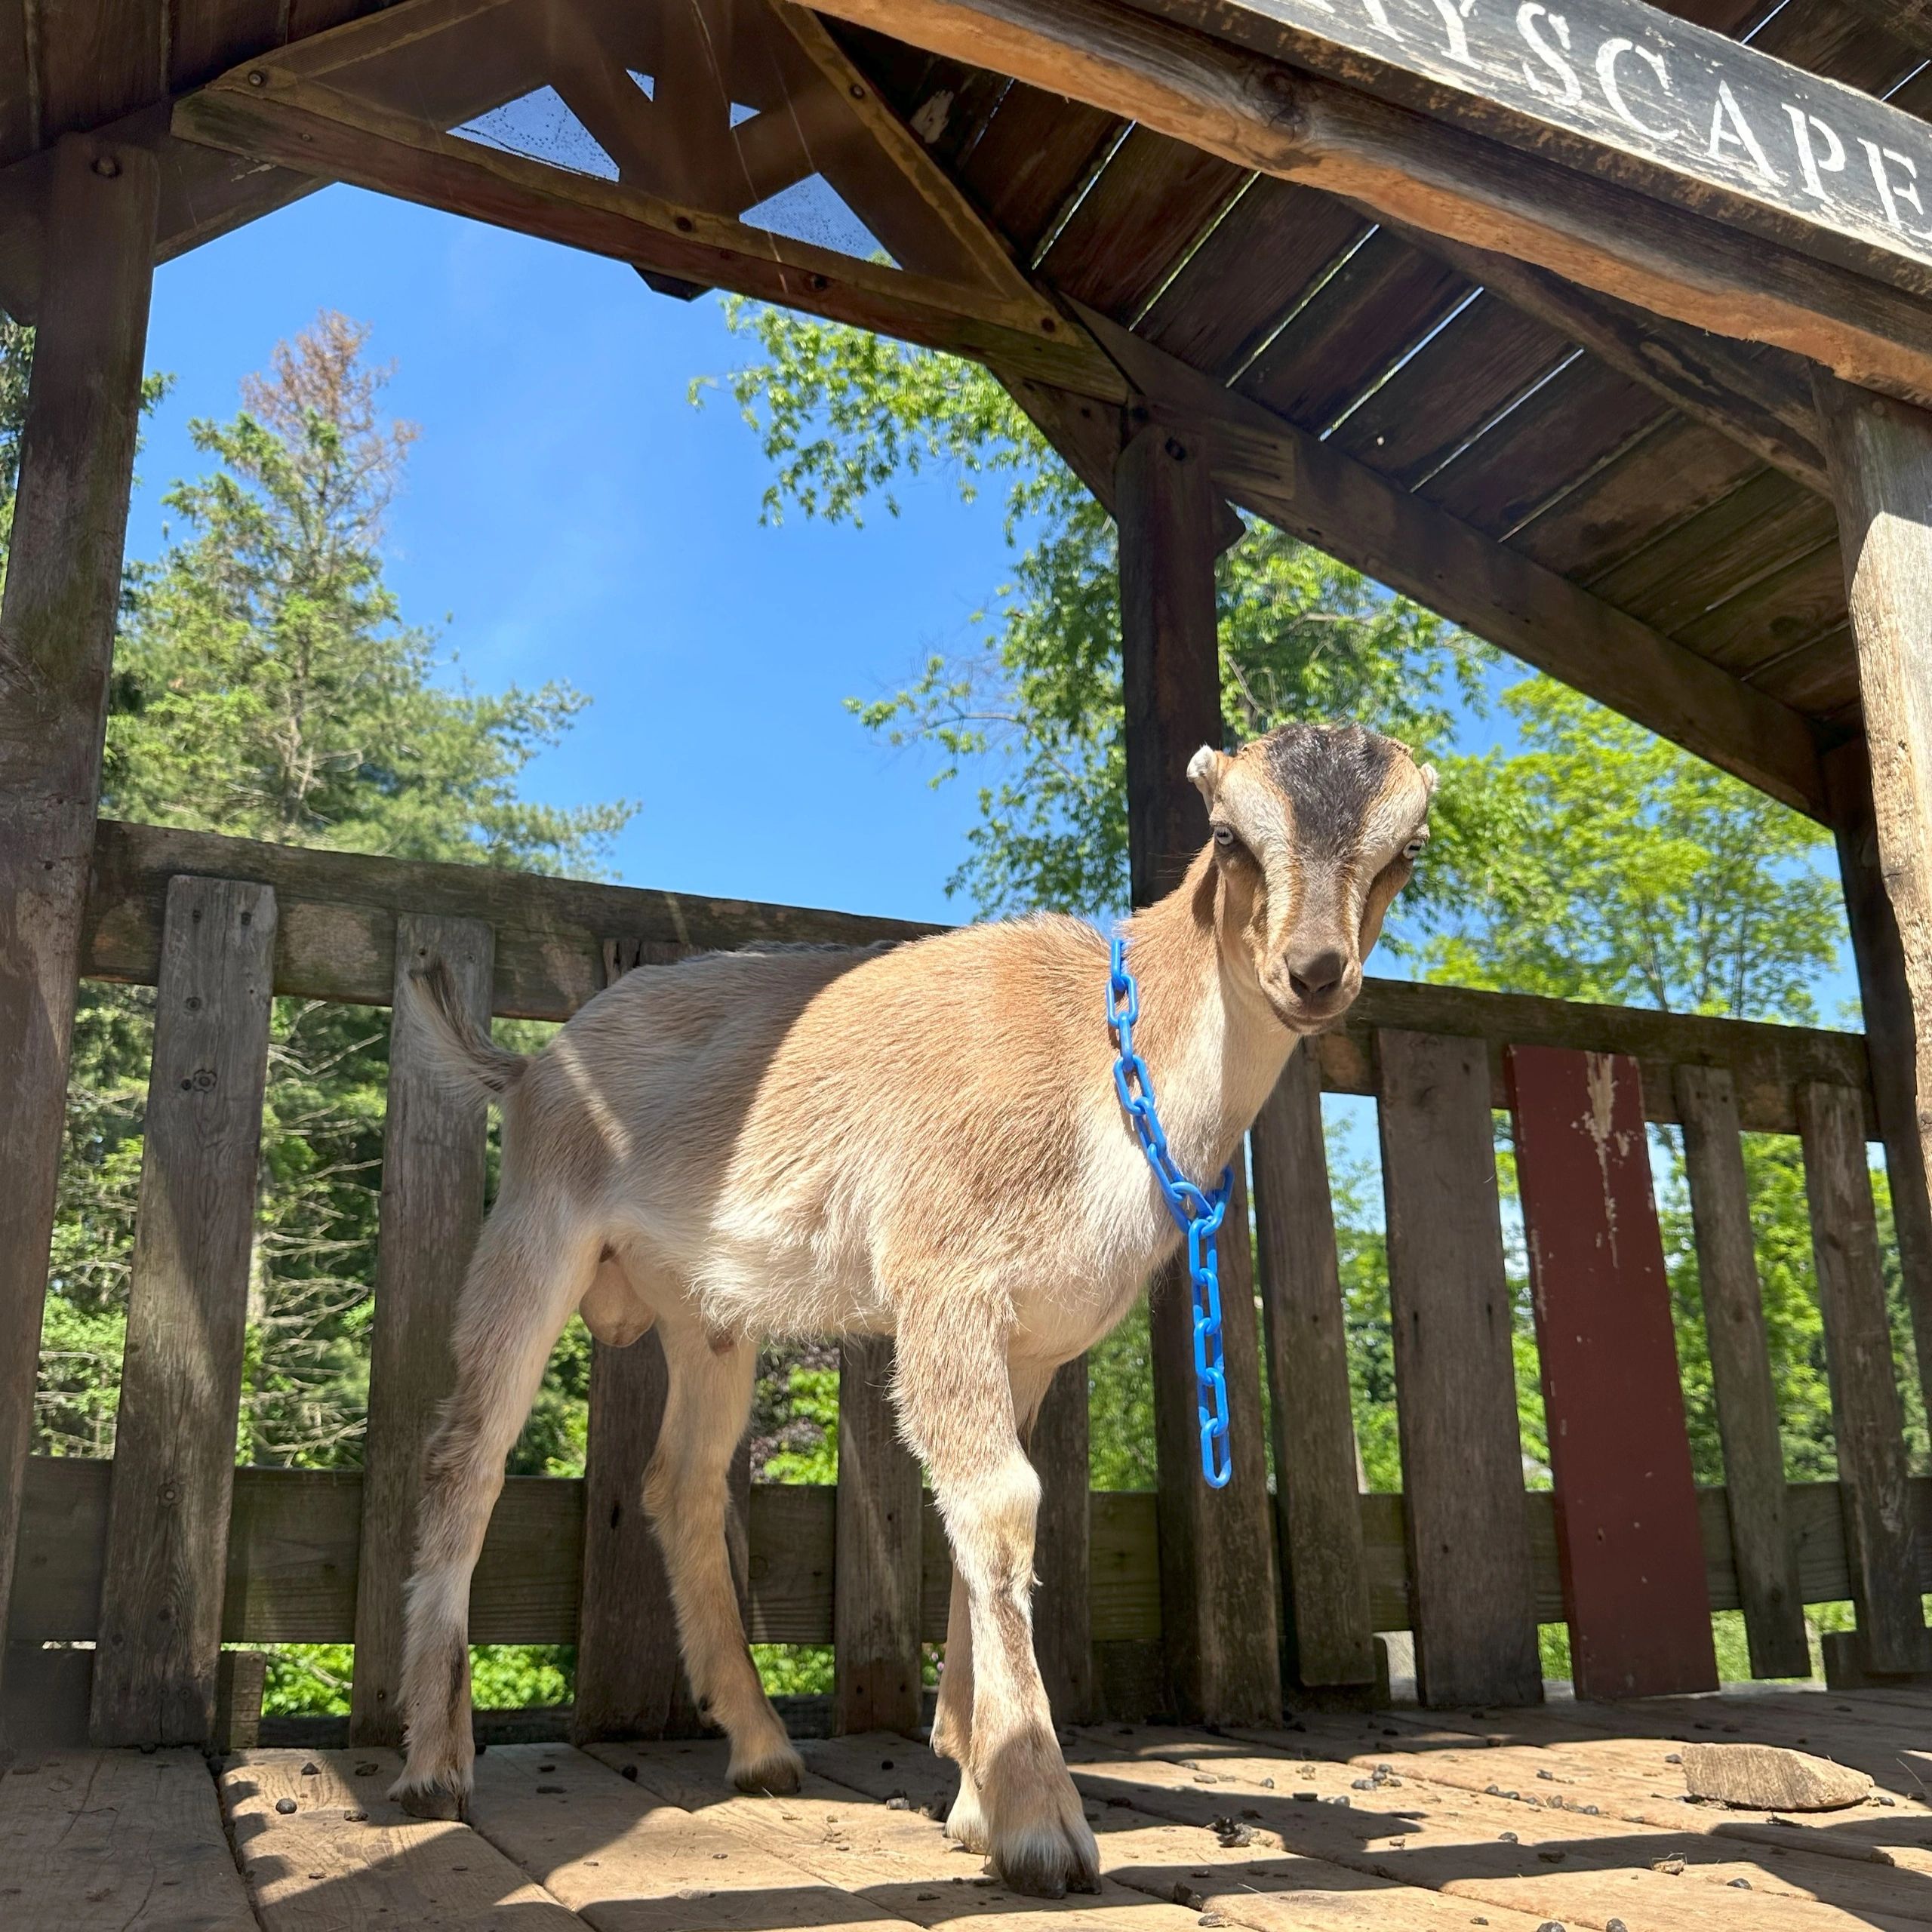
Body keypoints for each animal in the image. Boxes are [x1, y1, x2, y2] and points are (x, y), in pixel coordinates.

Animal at [388, 720, 1435, 1897]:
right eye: (1227, 834)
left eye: (1407, 849)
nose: (1314, 972)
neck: (1113, 1067)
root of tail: (529, 1067)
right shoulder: (946, 1278)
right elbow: (1002, 1505)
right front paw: (1036, 1823)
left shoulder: (1028, 1343)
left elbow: (981, 1517)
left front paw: (973, 1790)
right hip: (537, 1229)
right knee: (465, 1456)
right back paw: (434, 1769)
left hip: (706, 1313)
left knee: (679, 1484)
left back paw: (762, 1749)